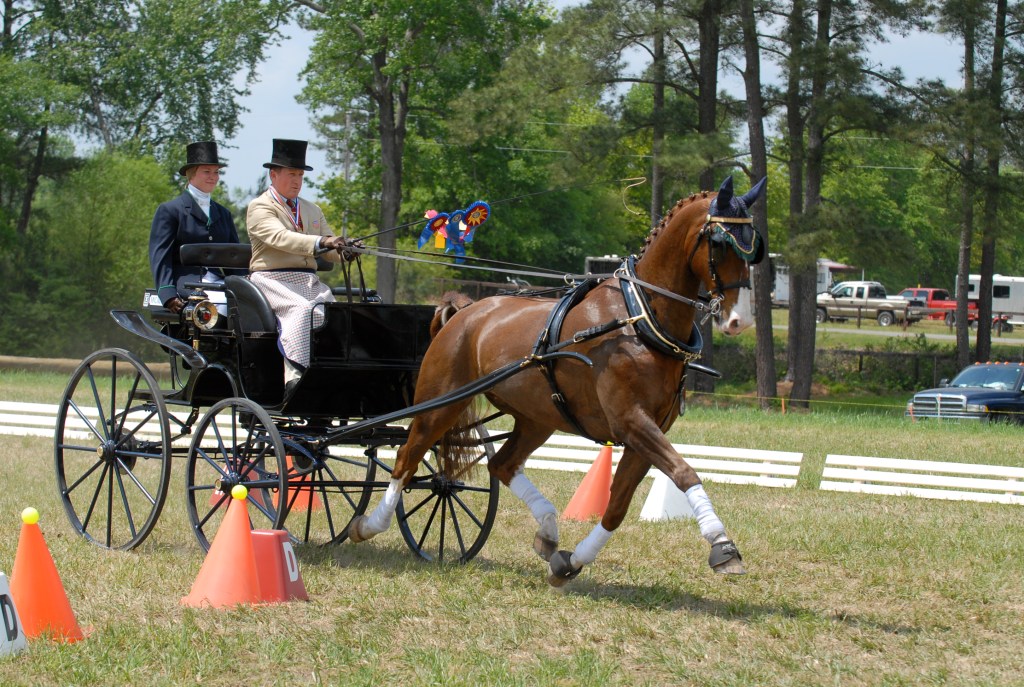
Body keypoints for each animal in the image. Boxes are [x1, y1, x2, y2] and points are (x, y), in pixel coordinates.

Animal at [349, 175, 766, 585]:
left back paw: (548, 530)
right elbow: (684, 472)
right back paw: (368, 525)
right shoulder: (631, 421)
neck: (639, 319)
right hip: (441, 405)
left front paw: (571, 561)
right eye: (719, 243)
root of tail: (465, 311)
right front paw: (723, 546)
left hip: (537, 418)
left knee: (501, 465)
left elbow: (617, 507)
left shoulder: (647, 431)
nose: (739, 321)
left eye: (754, 246)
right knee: (407, 457)